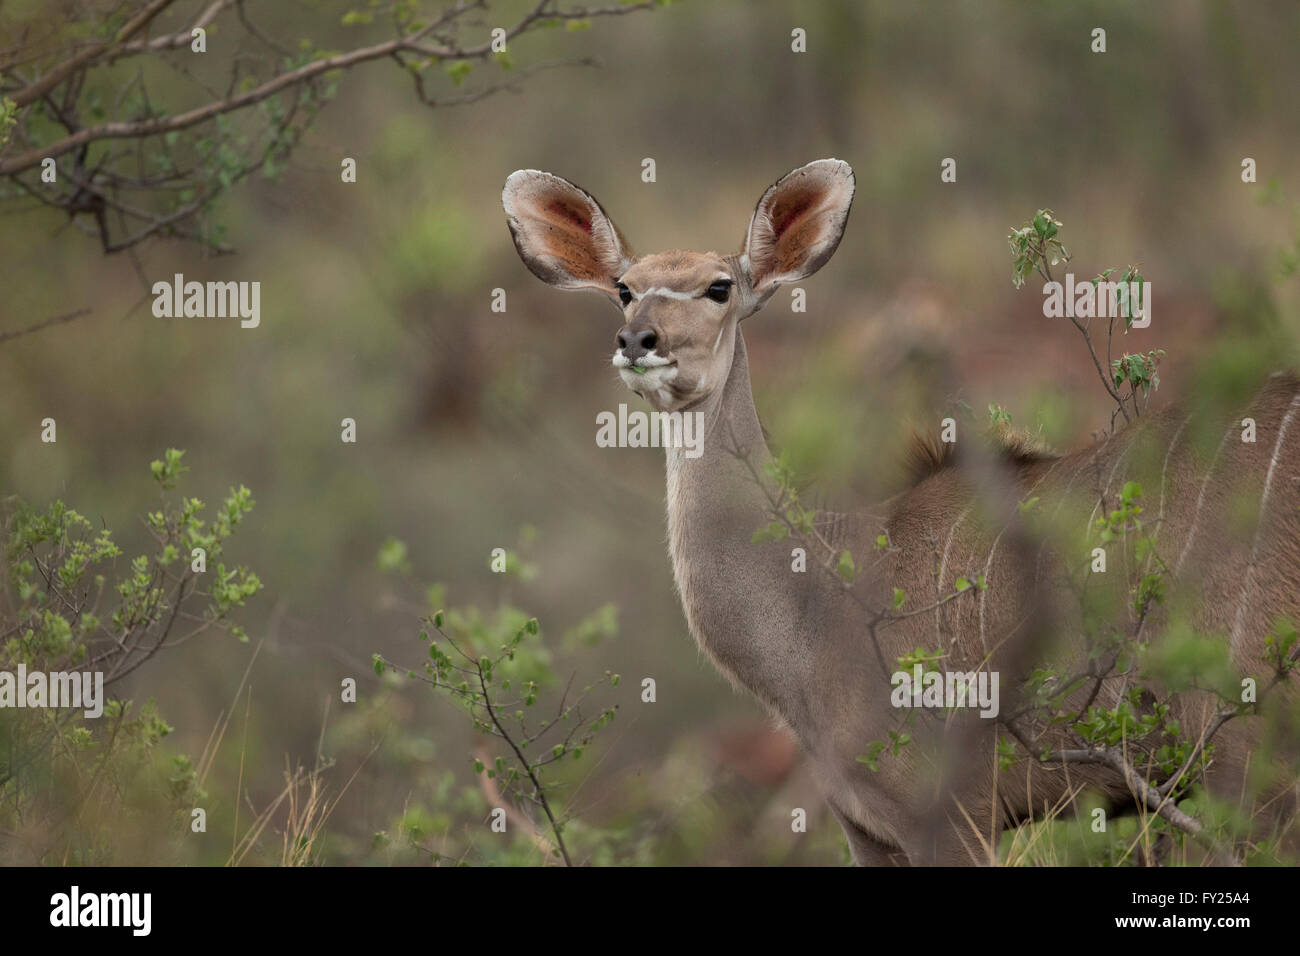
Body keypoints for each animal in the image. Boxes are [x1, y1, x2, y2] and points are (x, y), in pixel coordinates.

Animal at [501, 159, 1300, 865]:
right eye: (623, 289)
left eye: (719, 287)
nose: (639, 340)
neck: (813, 605)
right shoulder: (868, 829)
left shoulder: (948, 815)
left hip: (1247, 763)